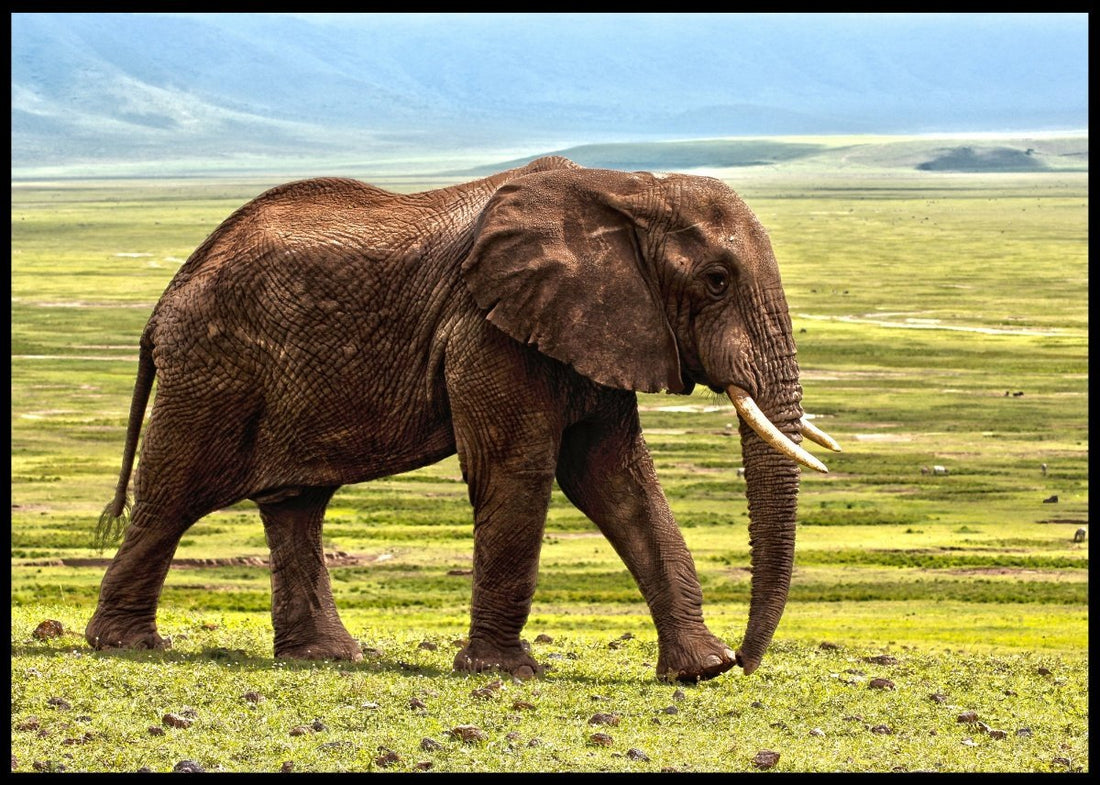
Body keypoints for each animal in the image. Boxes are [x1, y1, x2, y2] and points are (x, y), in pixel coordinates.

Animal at [86, 155, 839, 682]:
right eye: (716, 281)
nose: (746, 660)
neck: (626, 188)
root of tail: (165, 299)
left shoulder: (595, 328)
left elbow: (616, 480)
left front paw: (699, 671)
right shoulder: (487, 330)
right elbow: (519, 471)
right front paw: (507, 673)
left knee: (295, 503)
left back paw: (325, 658)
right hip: (212, 367)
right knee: (173, 495)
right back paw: (127, 645)